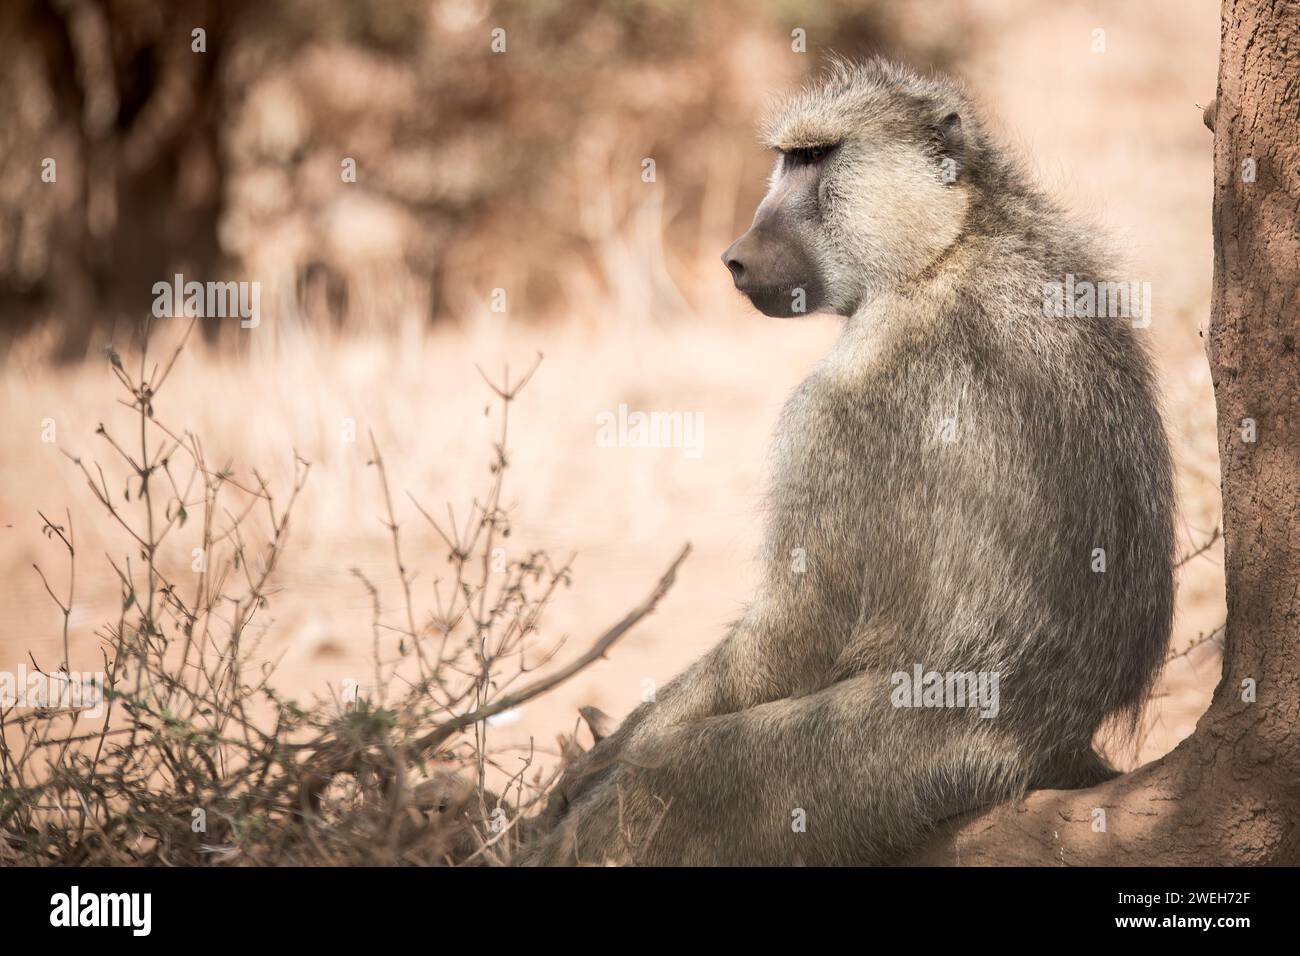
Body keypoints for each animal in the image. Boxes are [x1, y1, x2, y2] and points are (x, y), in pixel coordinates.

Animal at [524, 57, 1175, 866]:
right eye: (789, 158)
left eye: (819, 158)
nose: (735, 258)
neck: (950, 244)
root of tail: (1052, 745)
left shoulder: (849, 393)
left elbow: (802, 622)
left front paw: (609, 762)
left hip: (912, 758)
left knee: (672, 783)